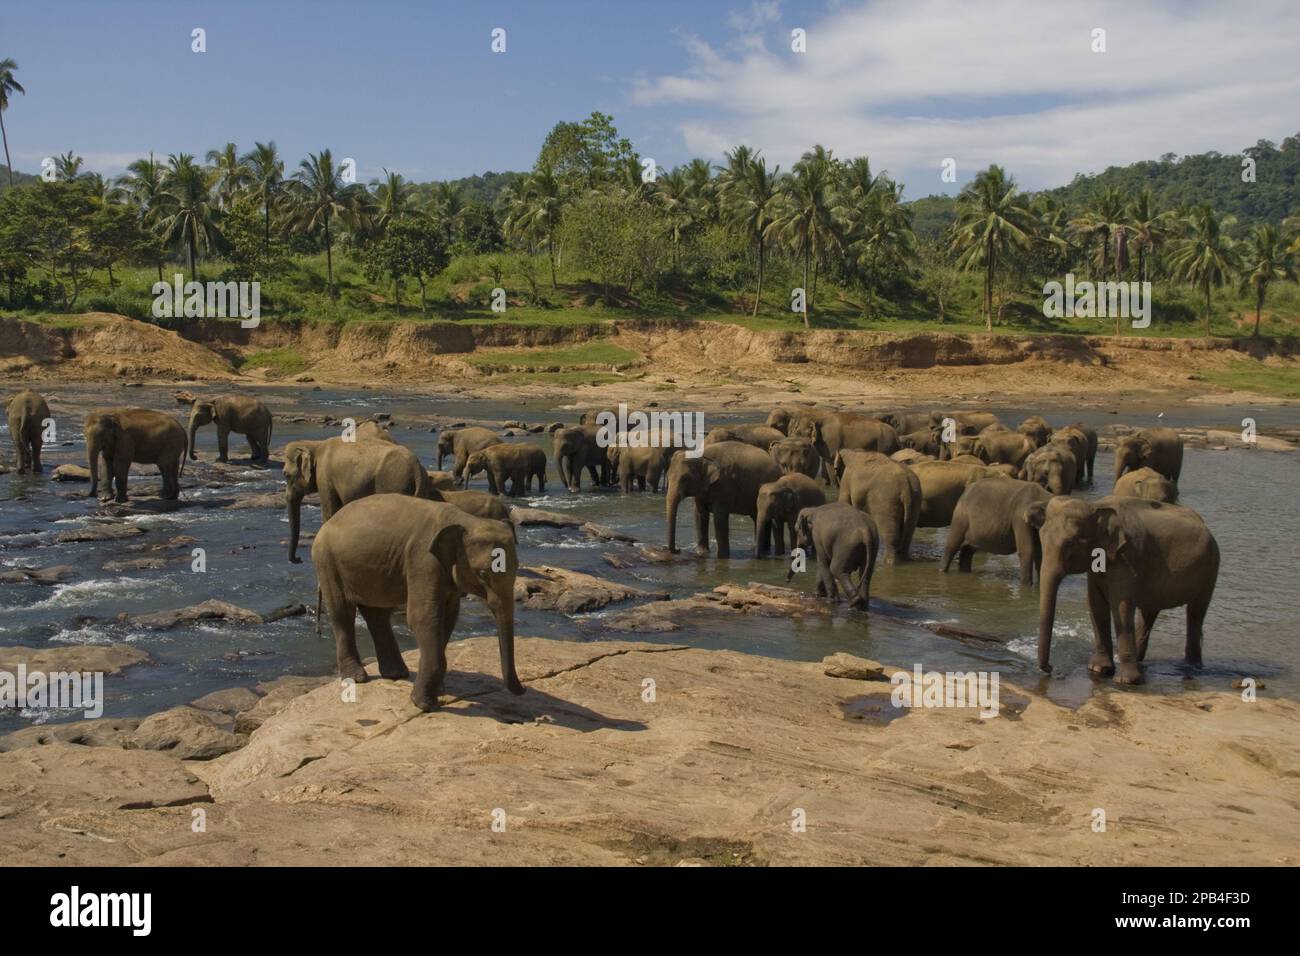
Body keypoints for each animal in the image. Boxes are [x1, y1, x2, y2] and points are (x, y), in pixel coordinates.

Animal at [283, 437, 433, 563]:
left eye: (286, 475)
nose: (299, 559)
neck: (315, 444)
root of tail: (416, 467)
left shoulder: (324, 478)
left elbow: (330, 513)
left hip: (393, 482)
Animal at [311, 494, 524, 711]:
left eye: (517, 567)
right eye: (482, 573)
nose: (522, 690)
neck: (467, 520)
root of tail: (330, 520)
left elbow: (448, 619)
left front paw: (438, 692)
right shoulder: (423, 561)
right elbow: (423, 617)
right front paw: (425, 704)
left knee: (377, 615)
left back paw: (396, 674)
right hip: (327, 562)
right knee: (342, 612)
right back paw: (357, 678)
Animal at [1027, 496, 1219, 683]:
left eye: (1071, 543)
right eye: (1041, 537)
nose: (1052, 670)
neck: (1097, 506)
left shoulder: (1128, 557)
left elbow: (1121, 606)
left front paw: (1125, 681)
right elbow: (1095, 605)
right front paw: (1098, 669)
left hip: (1210, 571)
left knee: (1195, 614)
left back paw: (1192, 667)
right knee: (1149, 612)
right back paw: (1140, 661)